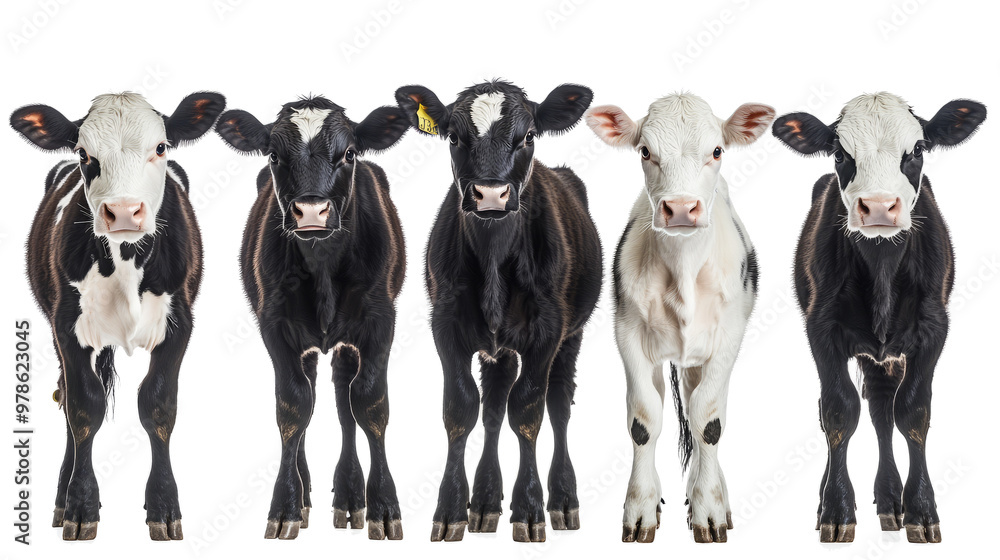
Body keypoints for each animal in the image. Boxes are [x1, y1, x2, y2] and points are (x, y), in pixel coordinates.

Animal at [10, 91, 225, 540]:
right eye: (83, 153)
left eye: (160, 147)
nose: (124, 212)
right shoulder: (66, 327)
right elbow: (83, 408)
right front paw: (79, 506)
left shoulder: (179, 326)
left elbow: (158, 405)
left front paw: (163, 507)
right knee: (66, 398)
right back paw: (61, 496)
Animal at [214, 96, 410, 540]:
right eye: (273, 155)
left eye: (349, 153)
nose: (311, 211)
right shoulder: (274, 326)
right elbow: (293, 406)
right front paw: (285, 506)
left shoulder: (381, 322)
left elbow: (370, 404)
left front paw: (384, 506)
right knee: (311, 394)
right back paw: (307, 498)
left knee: (343, 398)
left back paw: (351, 497)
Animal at [394, 81, 602, 543]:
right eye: (453, 137)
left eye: (529, 136)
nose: (490, 194)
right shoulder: (445, 326)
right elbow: (461, 409)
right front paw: (452, 509)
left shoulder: (549, 331)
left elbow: (527, 412)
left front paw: (530, 509)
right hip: (500, 349)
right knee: (492, 407)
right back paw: (485, 503)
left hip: (573, 336)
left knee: (559, 405)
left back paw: (563, 500)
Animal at [586, 94, 775, 543]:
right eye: (645, 151)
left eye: (717, 150)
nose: (682, 208)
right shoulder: (628, 334)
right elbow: (644, 419)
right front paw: (640, 508)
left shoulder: (728, 338)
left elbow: (708, 420)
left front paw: (709, 509)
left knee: (700, 406)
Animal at [771, 93, 986, 543]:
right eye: (839, 153)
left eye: (918, 149)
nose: (880, 207)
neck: (882, 263)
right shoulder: (821, 330)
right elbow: (838, 411)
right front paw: (836, 510)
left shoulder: (934, 329)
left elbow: (913, 411)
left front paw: (921, 510)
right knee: (849, 410)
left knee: (884, 409)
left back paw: (891, 501)